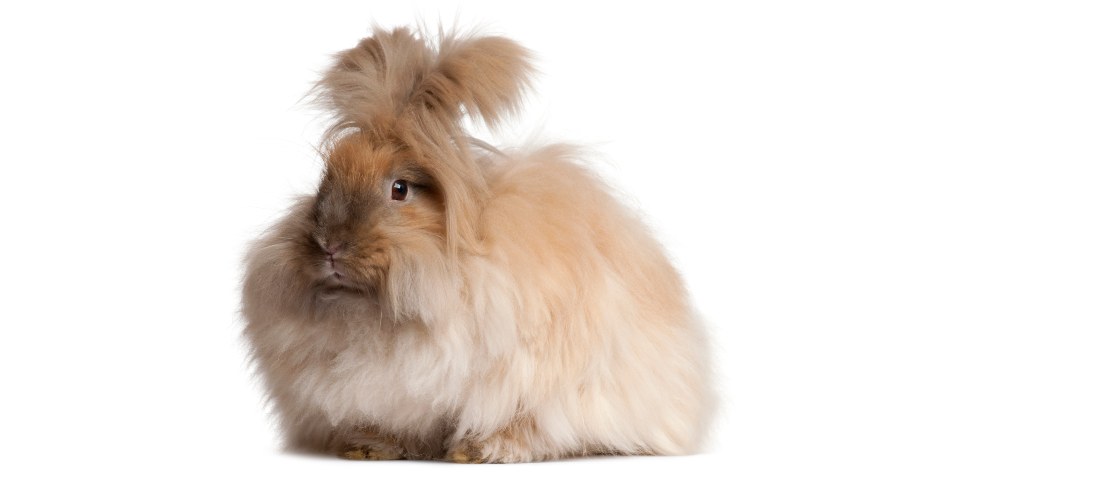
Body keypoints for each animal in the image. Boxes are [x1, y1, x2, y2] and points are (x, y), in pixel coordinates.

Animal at [241, 25, 715, 463]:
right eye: (324, 181)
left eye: (400, 189)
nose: (329, 246)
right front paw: (368, 446)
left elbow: (526, 421)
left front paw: (478, 449)